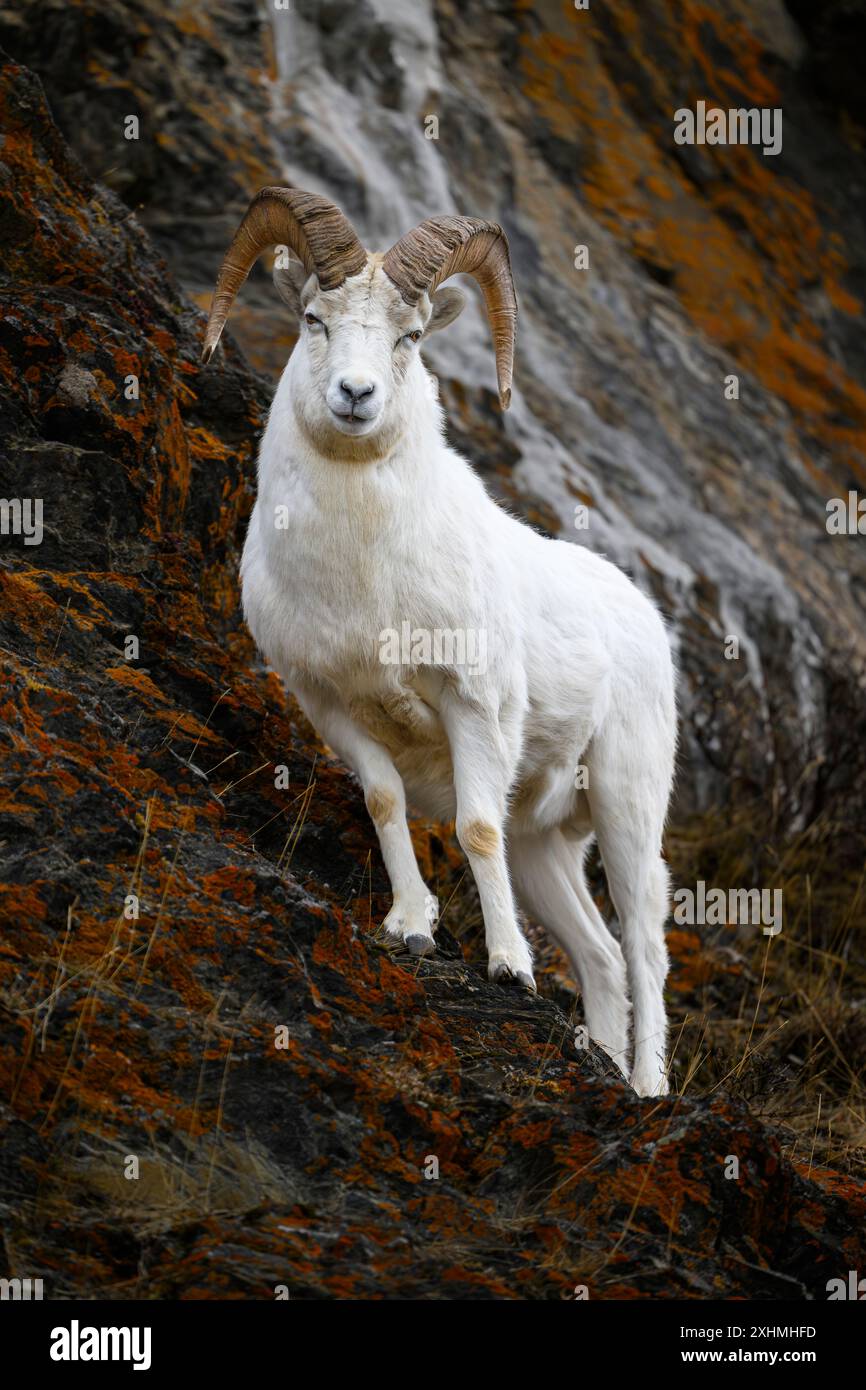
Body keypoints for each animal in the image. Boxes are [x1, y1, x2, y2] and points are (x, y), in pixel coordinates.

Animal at [202, 186, 677, 1097]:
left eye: (411, 335)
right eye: (313, 318)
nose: (355, 396)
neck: (363, 577)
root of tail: (642, 617)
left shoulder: (473, 709)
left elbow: (473, 830)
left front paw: (508, 969)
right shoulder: (334, 707)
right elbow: (386, 804)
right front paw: (412, 927)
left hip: (628, 802)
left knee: (643, 946)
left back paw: (645, 1090)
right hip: (548, 844)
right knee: (600, 956)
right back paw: (599, 1060)